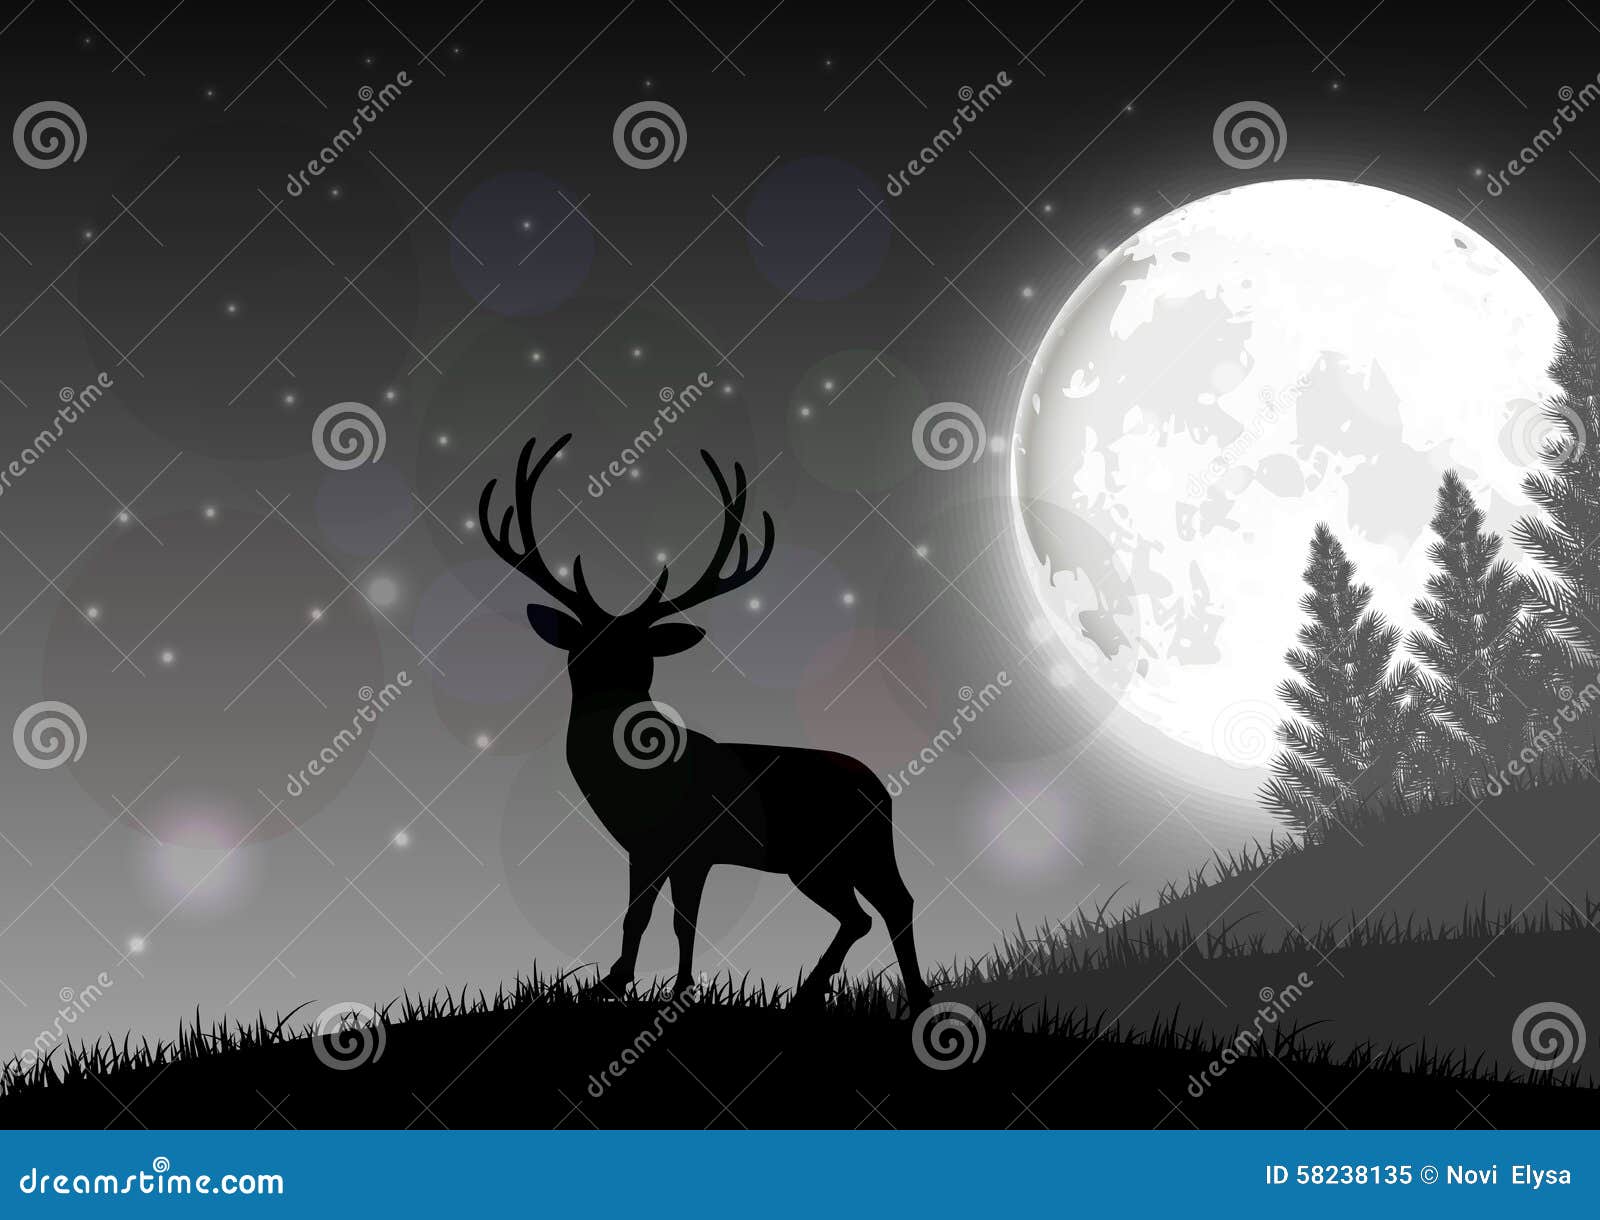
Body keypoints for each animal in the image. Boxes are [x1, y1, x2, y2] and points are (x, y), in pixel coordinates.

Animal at [480, 434, 933, 1013]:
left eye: (639, 654)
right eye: (584, 647)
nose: (606, 682)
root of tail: (883, 790)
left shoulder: (684, 844)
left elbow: (668, 919)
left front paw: (656, 989)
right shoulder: (651, 847)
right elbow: (651, 918)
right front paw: (629, 983)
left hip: (836, 852)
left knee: (881, 907)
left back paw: (856, 992)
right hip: (839, 856)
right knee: (879, 909)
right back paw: (868, 994)